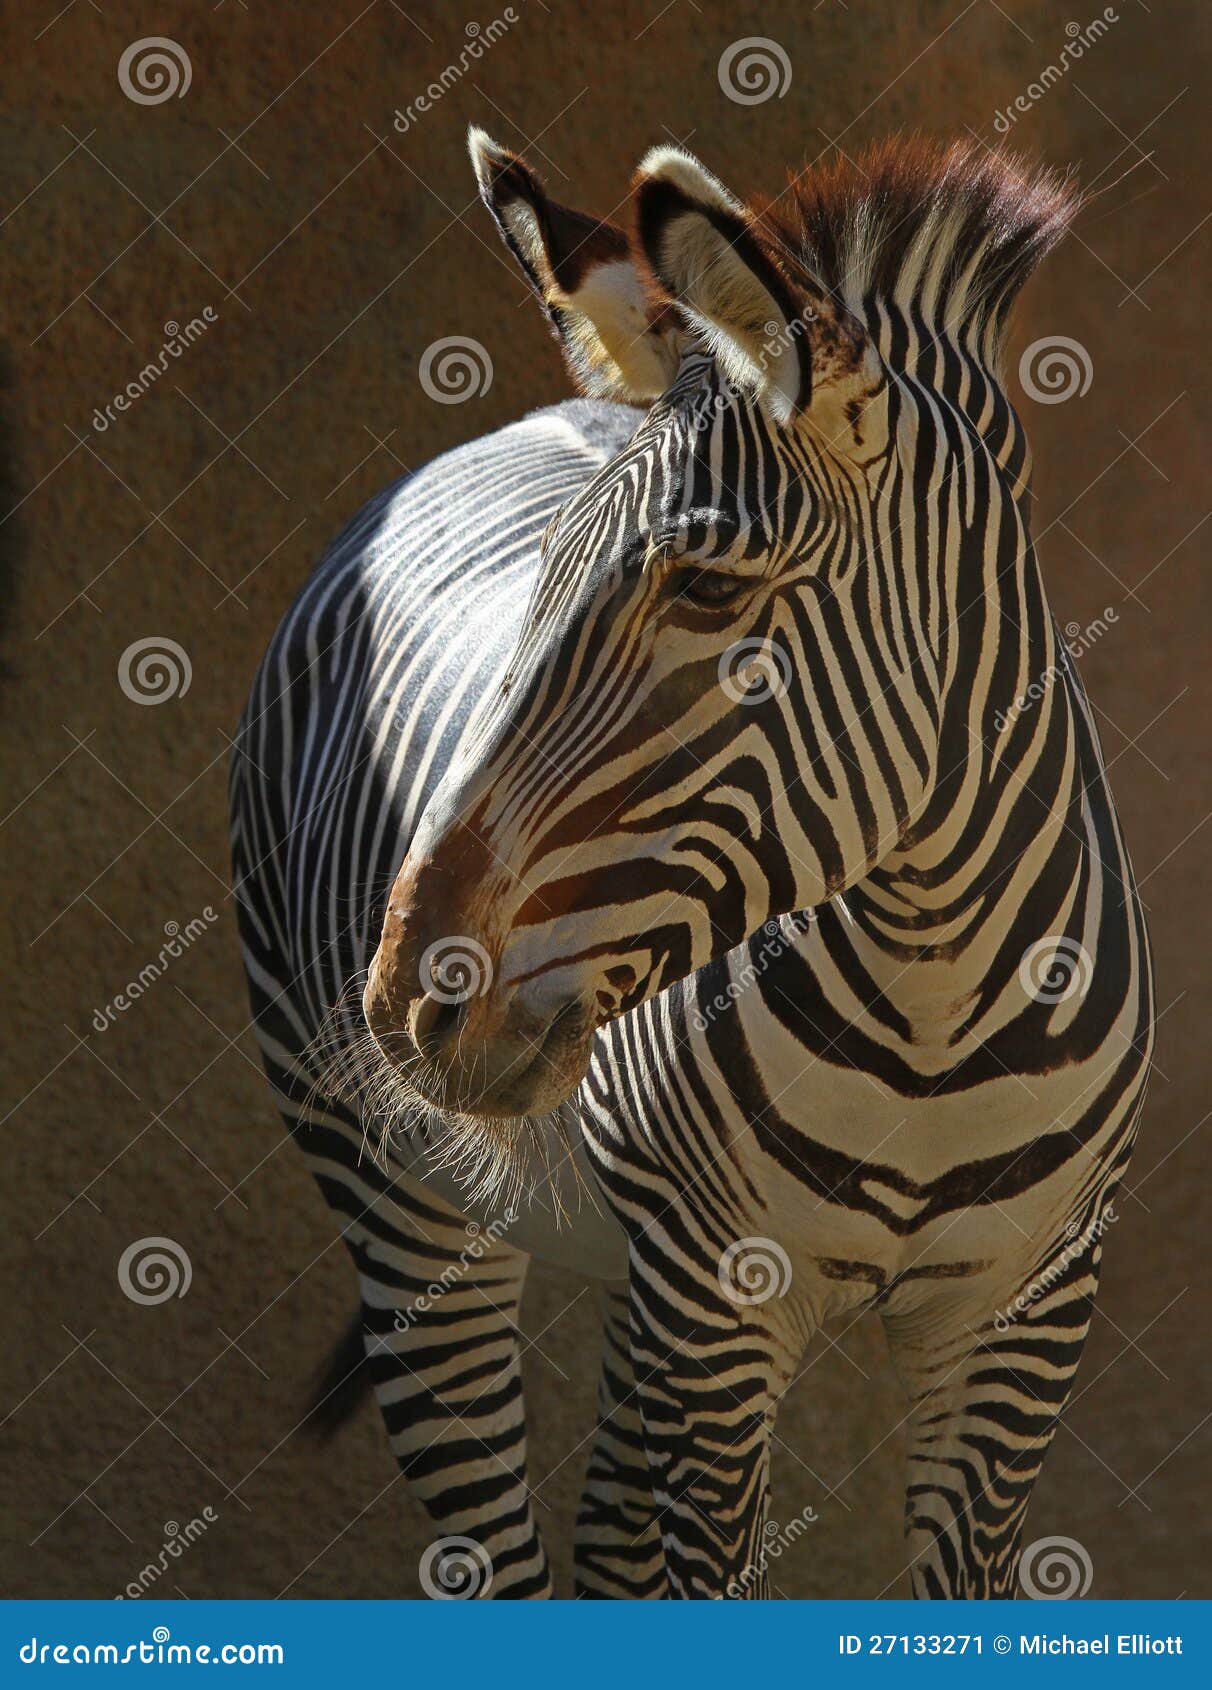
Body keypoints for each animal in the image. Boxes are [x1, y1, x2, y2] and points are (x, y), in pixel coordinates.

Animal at [230, 129, 1153, 1599]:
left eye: (708, 592)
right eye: (538, 588)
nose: (404, 1000)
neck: (937, 993)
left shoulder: (1023, 1306)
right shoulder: (715, 1303)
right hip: (406, 1211)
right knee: (494, 1553)